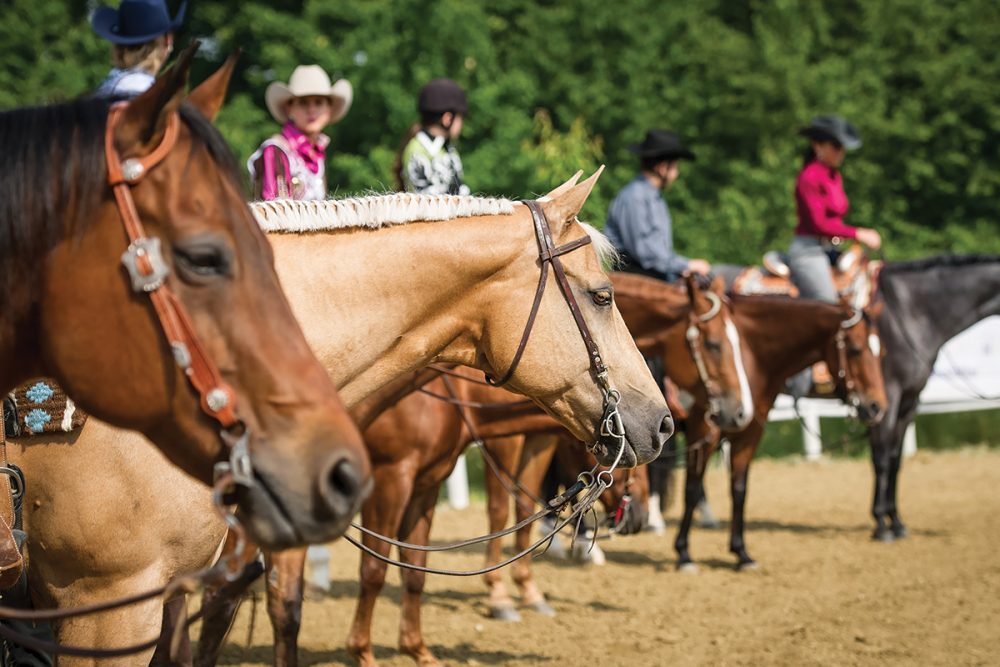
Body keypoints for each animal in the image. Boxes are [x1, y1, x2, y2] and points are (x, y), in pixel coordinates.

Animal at [674, 295, 887, 570]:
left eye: (881, 351)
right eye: (855, 350)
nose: (877, 407)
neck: (750, 357)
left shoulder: (750, 432)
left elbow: (739, 490)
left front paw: (741, 553)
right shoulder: (703, 430)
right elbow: (691, 488)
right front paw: (683, 553)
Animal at [868, 254, 1000, 541]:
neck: (910, 312)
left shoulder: (908, 401)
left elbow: (895, 460)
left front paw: (896, 522)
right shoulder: (886, 399)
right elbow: (881, 459)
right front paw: (880, 525)